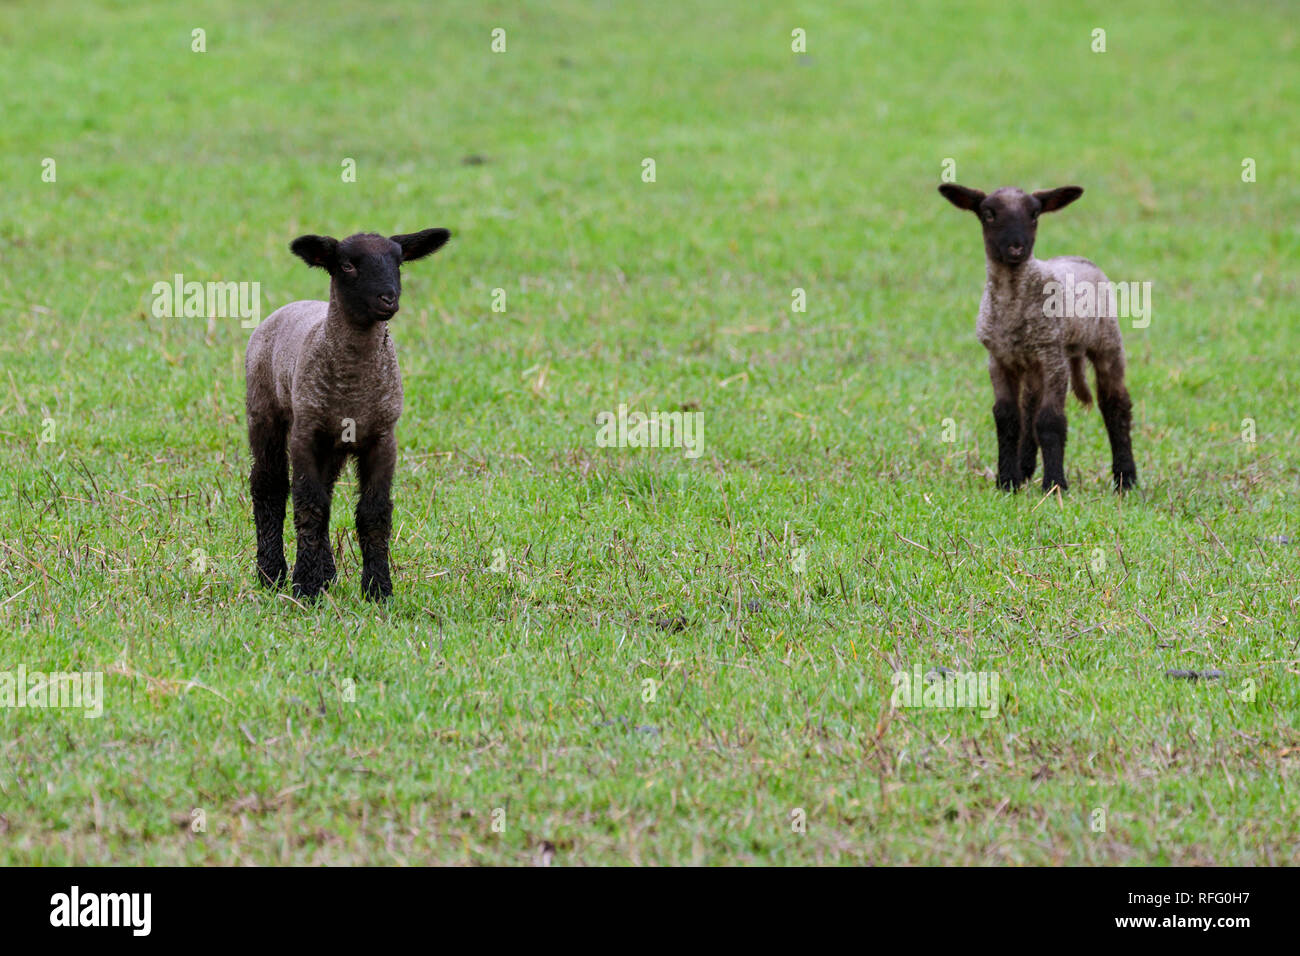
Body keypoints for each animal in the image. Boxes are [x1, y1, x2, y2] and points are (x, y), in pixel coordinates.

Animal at [245, 227, 451, 600]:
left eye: (399, 262)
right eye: (347, 265)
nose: (389, 299)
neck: (353, 387)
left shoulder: (383, 438)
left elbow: (373, 513)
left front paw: (378, 589)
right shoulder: (306, 434)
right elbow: (308, 506)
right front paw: (305, 587)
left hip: (334, 443)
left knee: (325, 490)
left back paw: (326, 572)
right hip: (263, 410)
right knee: (269, 487)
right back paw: (272, 573)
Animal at [938, 184, 1137, 493]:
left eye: (1034, 214)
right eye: (988, 213)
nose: (1016, 247)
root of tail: (1080, 259)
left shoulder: (1053, 356)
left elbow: (1050, 421)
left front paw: (1055, 484)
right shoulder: (999, 359)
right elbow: (1007, 418)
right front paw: (1007, 481)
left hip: (1106, 342)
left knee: (1115, 403)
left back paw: (1125, 478)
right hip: (1032, 365)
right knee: (1029, 408)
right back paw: (1025, 468)